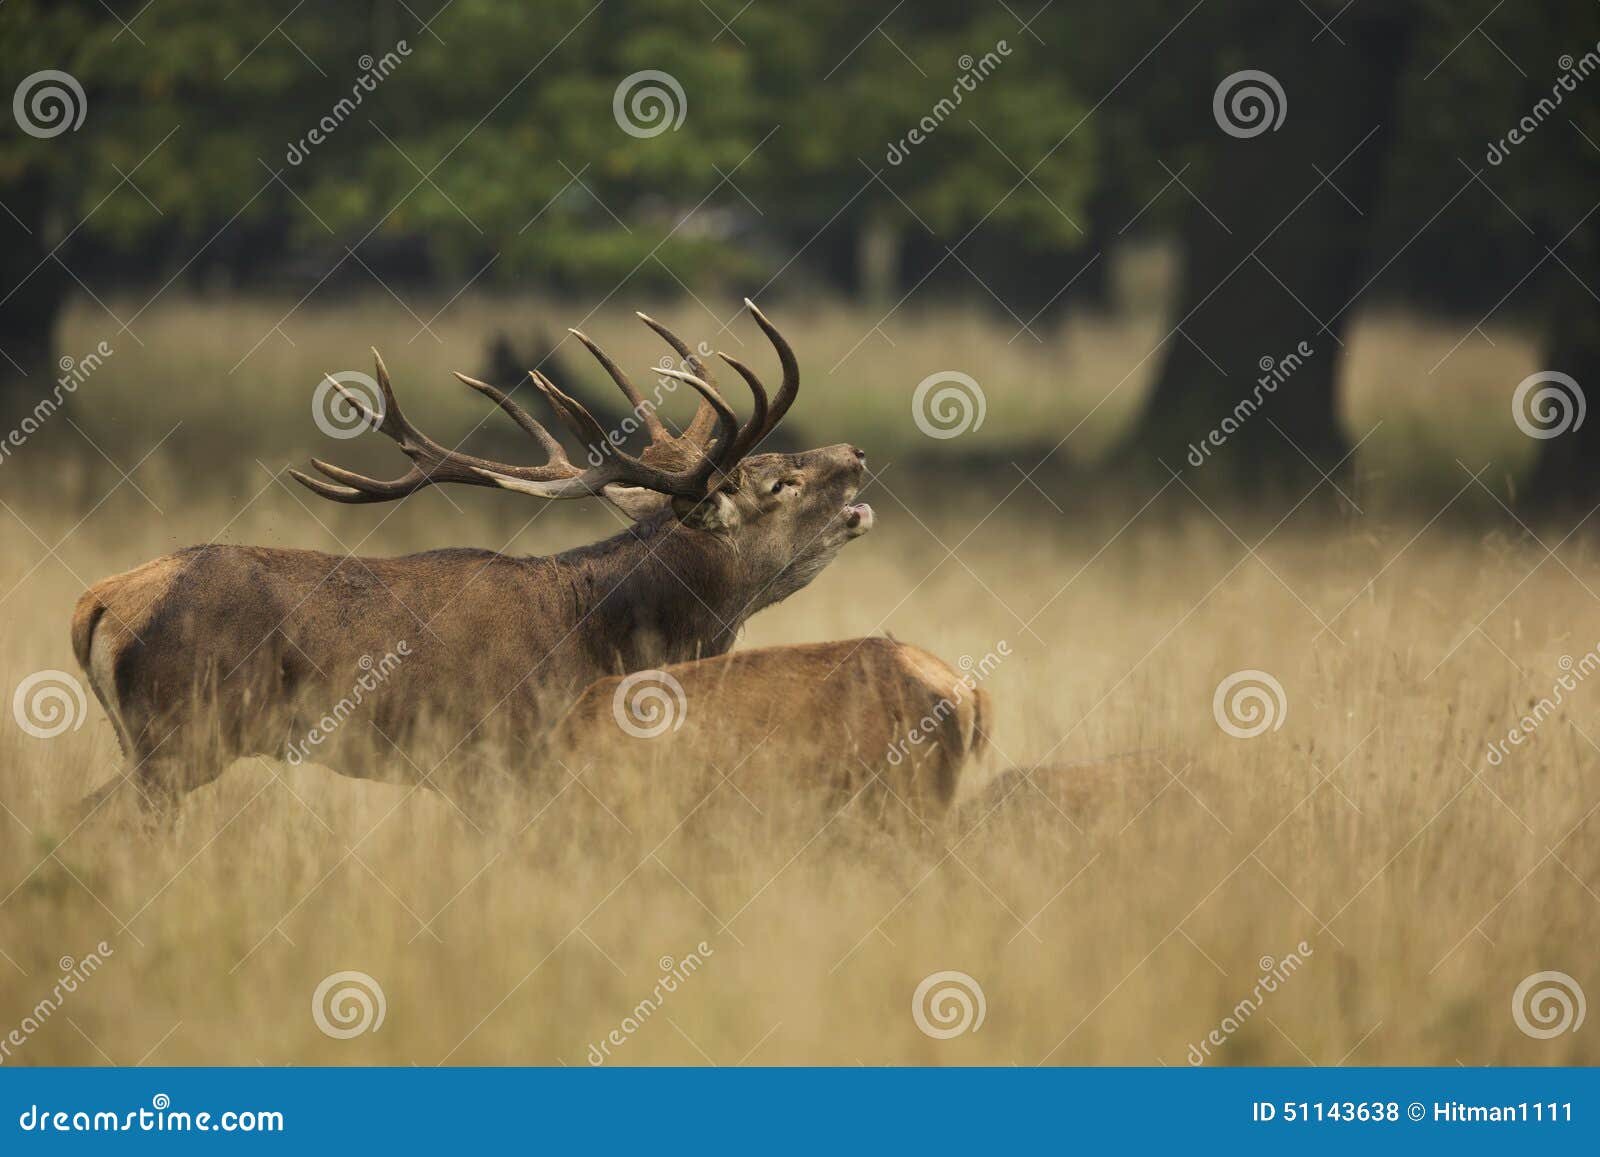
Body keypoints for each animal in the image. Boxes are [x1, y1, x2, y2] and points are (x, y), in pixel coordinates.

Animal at [70, 303, 875, 819]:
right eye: (776, 483)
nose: (857, 455)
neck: (610, 645)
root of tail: (98, 601)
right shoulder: (503, 760)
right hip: (178, 735)